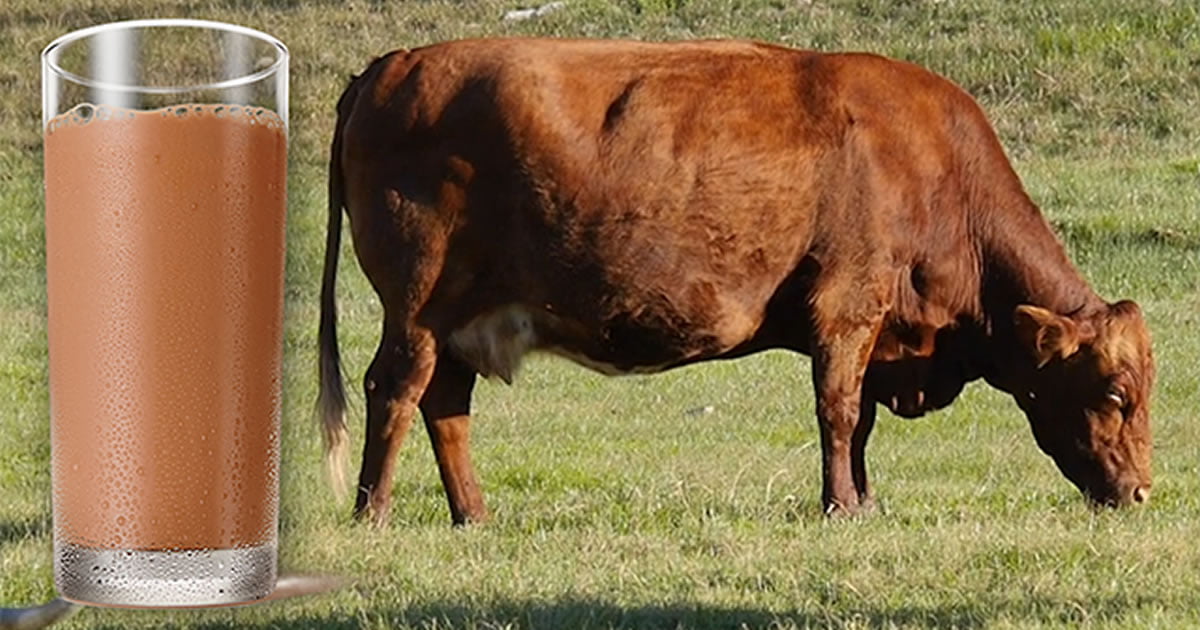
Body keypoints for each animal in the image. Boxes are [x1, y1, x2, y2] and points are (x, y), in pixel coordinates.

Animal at [317, 38, 1154, 526]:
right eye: (1116, 394)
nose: (1145, 490)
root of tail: (391, 64)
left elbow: (859, 421)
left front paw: (863, 499)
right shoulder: (847, 308)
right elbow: (840, 414)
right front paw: (840, 505)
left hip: (458, 319)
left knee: (445, 404)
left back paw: (474, 514)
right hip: (416, 308)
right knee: (395, 391)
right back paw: (372, 512)